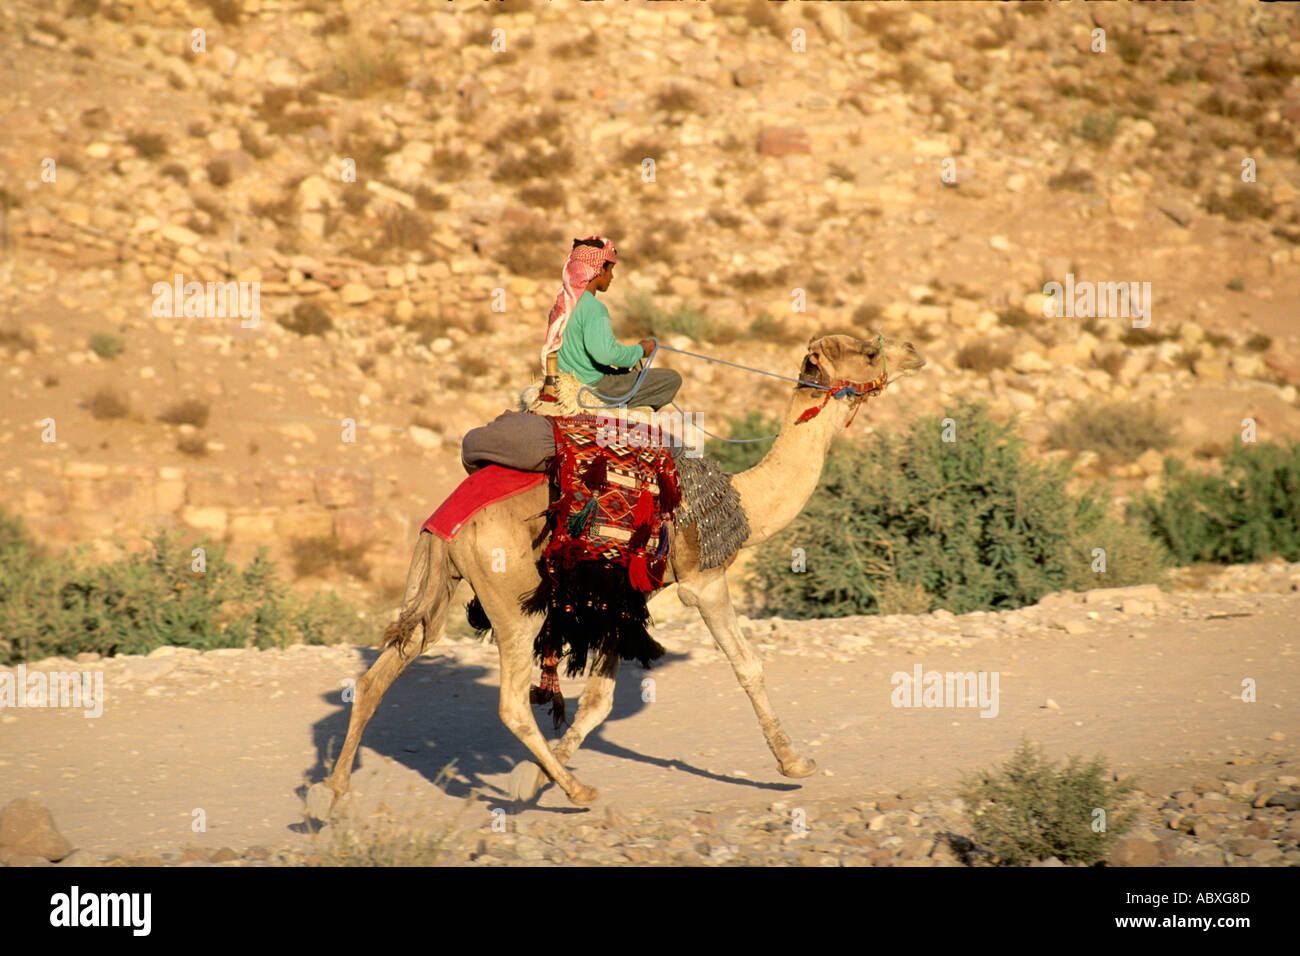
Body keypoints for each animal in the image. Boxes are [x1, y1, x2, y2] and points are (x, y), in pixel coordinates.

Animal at [309, 330, 925, 816]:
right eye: (871, 352)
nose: (916, 352)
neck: (744, 502)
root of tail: (446, 525)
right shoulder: (702, 580)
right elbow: (748, 665)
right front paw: (795, 762)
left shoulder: (623, 595)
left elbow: (599, 701)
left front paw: (531, 779)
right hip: (510, 596)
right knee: (510, 701)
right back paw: (580, 793)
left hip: (442, 583)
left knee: (383, 670)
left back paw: (328, 796)